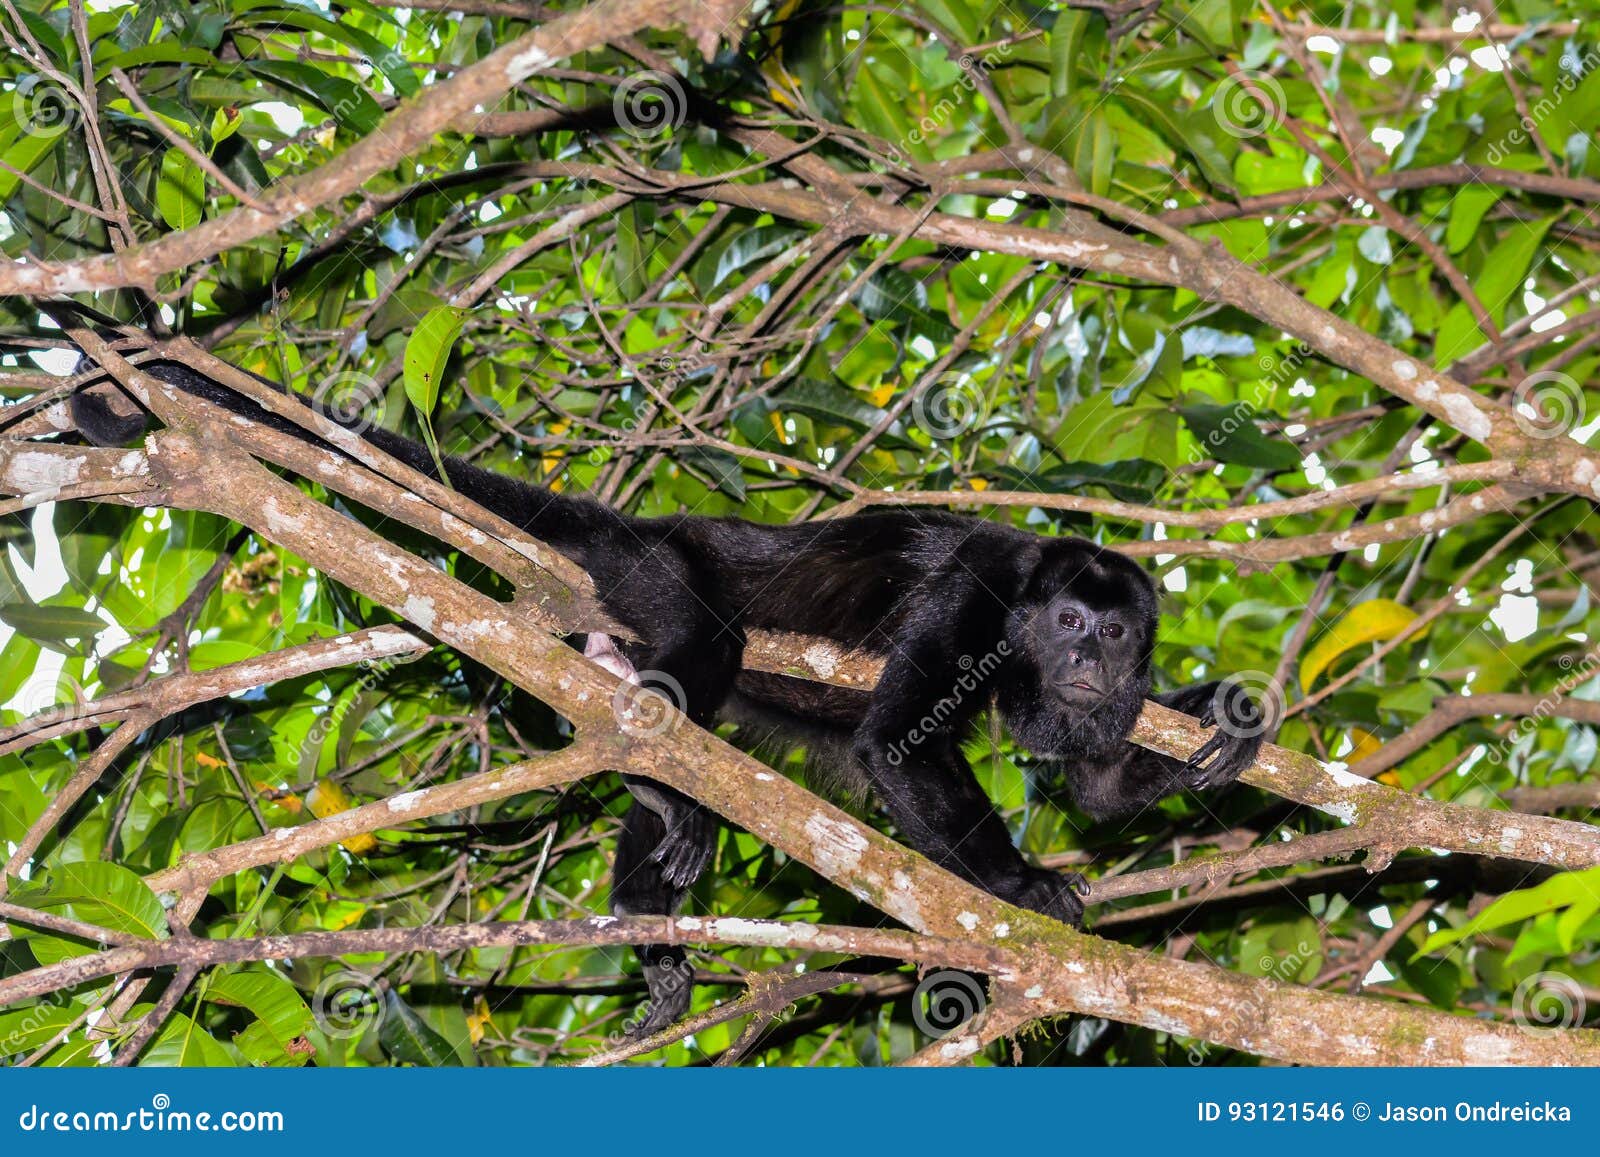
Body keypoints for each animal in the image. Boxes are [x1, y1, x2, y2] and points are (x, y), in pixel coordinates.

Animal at [68, 352, 1263, 1034]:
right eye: (1068, 623)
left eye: (1118, 633)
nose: (1094, 662)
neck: (1025, 615)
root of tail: (643, 527)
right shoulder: (977, 591)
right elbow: (898, 743)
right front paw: (1018, 885)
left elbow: (1099, 788)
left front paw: (1223, 716)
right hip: (664, 572)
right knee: (698, 660)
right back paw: (670, 821)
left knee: (645, 730)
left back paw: (649, 892)